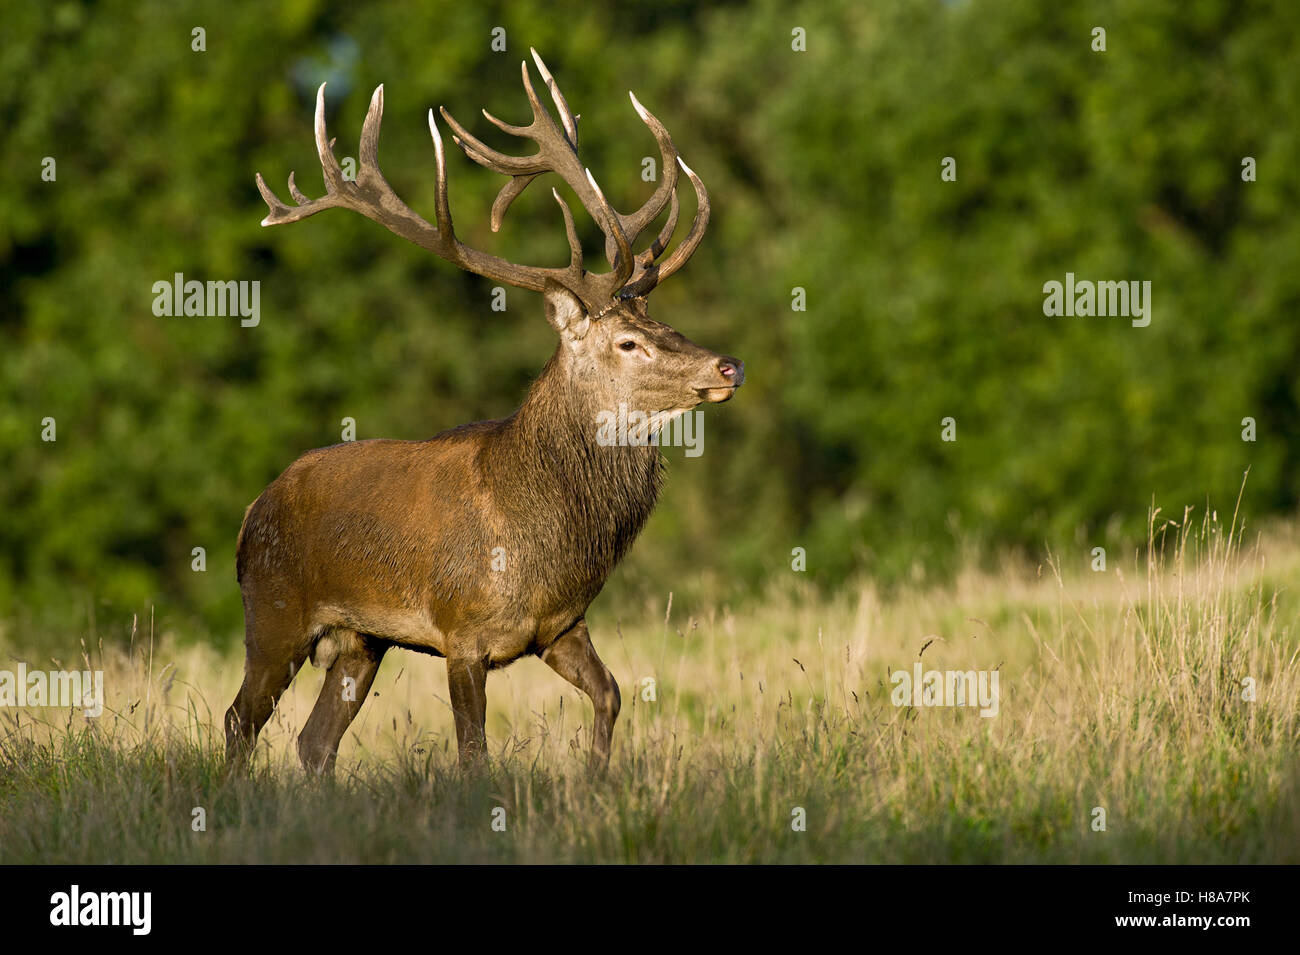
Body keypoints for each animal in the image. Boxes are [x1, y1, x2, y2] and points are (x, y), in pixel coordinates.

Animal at [226, 50, 743, 776]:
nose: (728, 367)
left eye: (666, 322)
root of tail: (252, 512)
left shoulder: (560, 624)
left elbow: (611, 694)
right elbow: (474, 753)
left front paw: (596, 780)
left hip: (360, 640)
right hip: (273, 613)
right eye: (627, 342)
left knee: (314, 741)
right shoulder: (462, 631)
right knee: (240, 721)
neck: (541, 536)